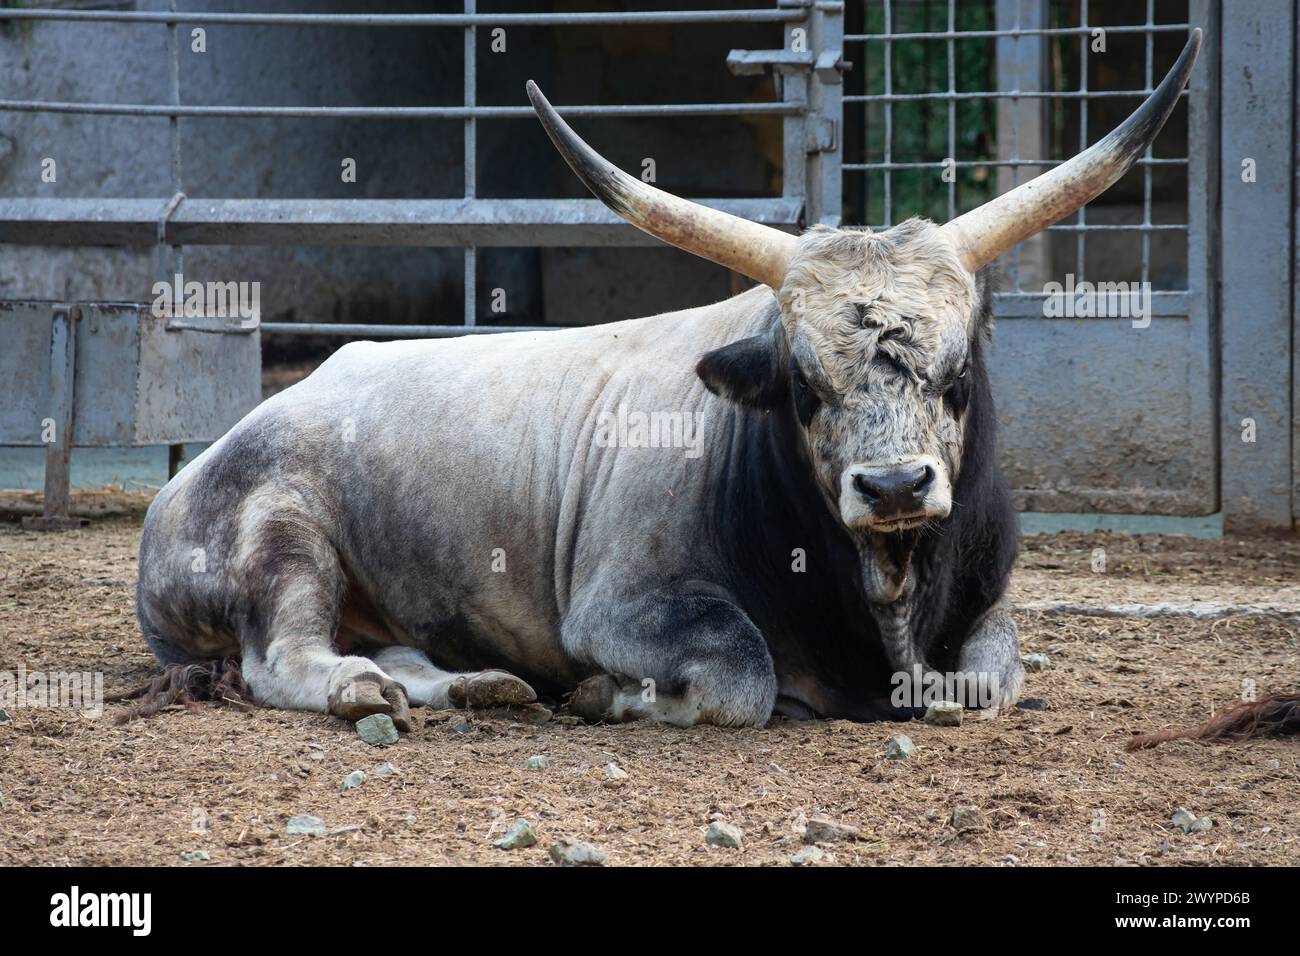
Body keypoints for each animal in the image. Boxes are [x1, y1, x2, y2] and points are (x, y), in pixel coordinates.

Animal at [131, 33, 1201, 731]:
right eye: (803, 386)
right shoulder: (617, 606)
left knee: (398, 653)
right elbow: (742, 677)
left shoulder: (986, 611)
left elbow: (986, 684)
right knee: (287, 656)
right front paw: (609, 694)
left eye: (959, 372)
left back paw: (478, 688)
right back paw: (370, 691)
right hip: (281, 538)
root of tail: (183, 482)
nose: (896, 486)